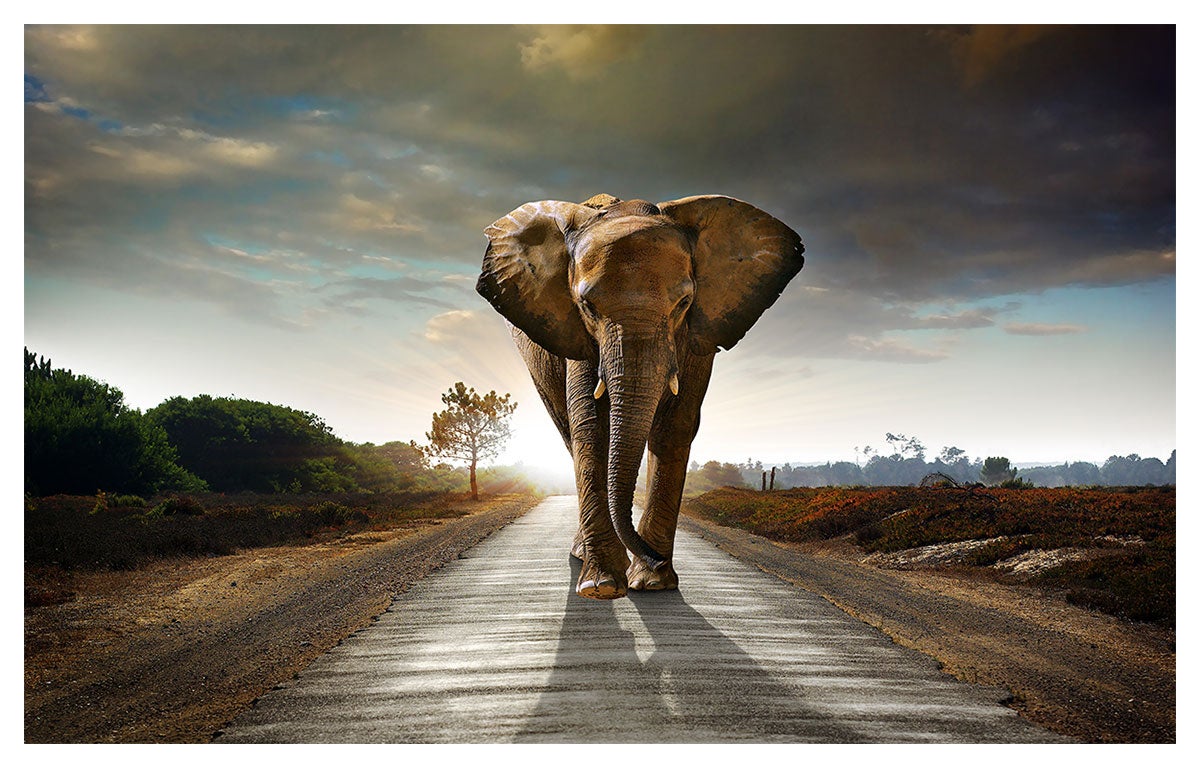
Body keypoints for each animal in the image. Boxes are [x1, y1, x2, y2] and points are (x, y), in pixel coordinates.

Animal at [476, 193, 804, 600]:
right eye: (587, 306)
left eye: (684, 303)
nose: (655, 557)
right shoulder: (578, 336)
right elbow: (592, 426)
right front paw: (602, 587)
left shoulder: (698, 335)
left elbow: (676, 425)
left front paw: (652, 583)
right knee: (568, 431)